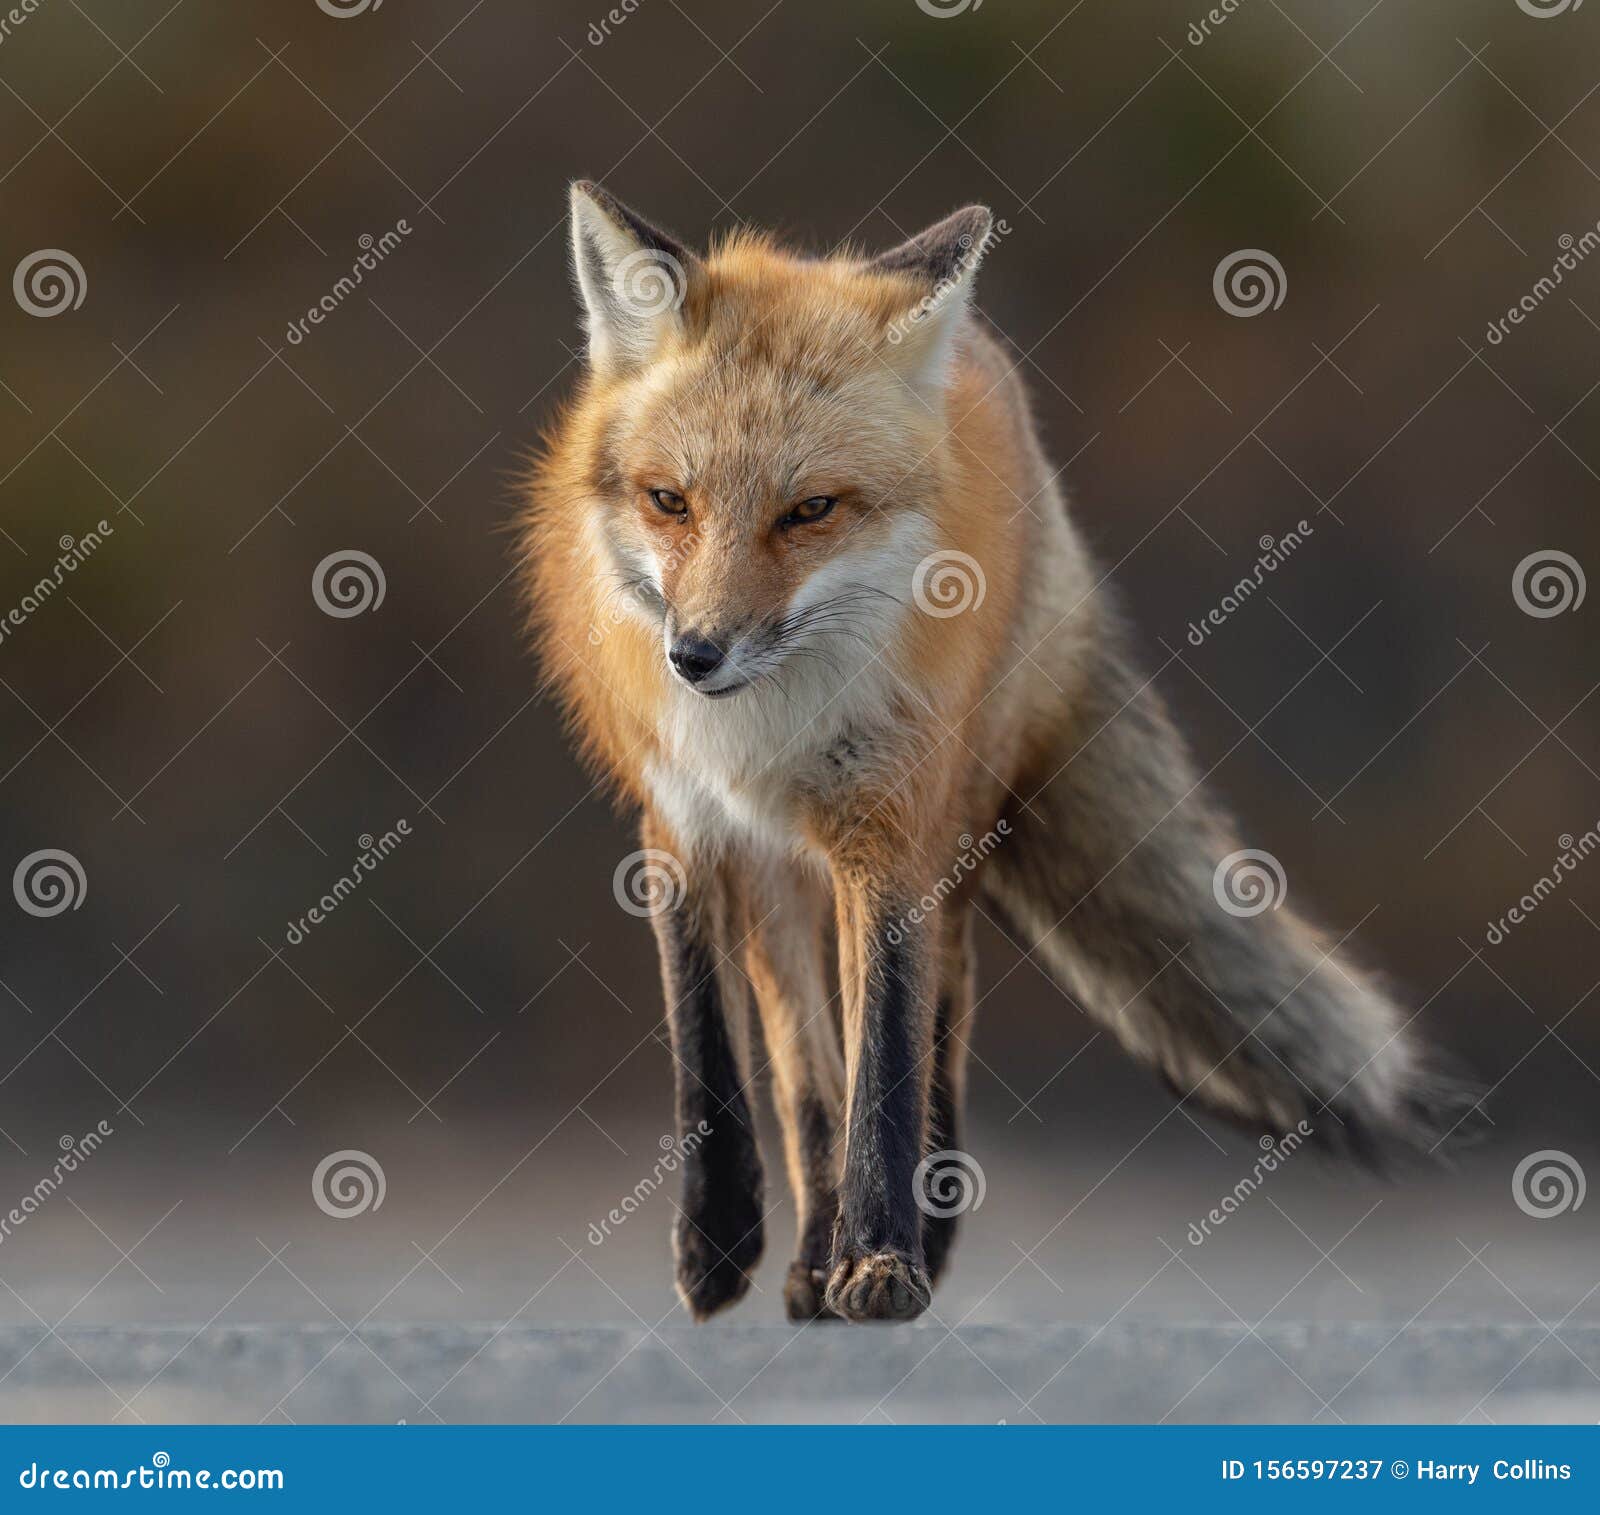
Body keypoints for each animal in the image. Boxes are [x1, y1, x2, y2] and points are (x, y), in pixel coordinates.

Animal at [518, 182, 1473, 1325]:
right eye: (669, 500)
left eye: (809, 511)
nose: (695, 655)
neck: (765, 729)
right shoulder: (682, 823)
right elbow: (711, 1048)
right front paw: (717, 1246)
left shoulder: (892, 829)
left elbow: (887, 1055)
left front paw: (883, 1262)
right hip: (783, 878)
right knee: (803, 1065)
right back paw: (807, 1259)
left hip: (953, 828)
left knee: (935, 1025)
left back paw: (907, 1238)